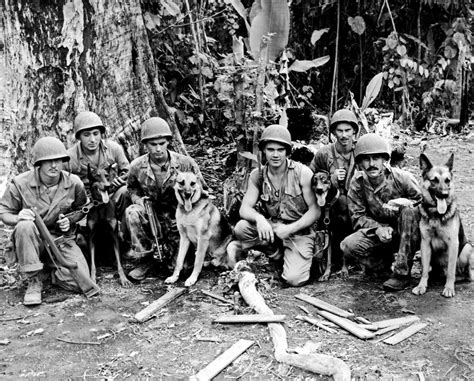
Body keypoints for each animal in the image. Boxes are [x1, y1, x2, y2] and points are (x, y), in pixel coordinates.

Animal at [412, 154, 474, 296]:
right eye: (434, 180)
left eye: (447, 181)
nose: (445, 194)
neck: (436, 214)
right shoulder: (425, 243)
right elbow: (424, 270)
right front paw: (422, 286)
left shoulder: (453, 244)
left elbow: (451, 270)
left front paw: (449, 288)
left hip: (467, 248)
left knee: (464, 273)